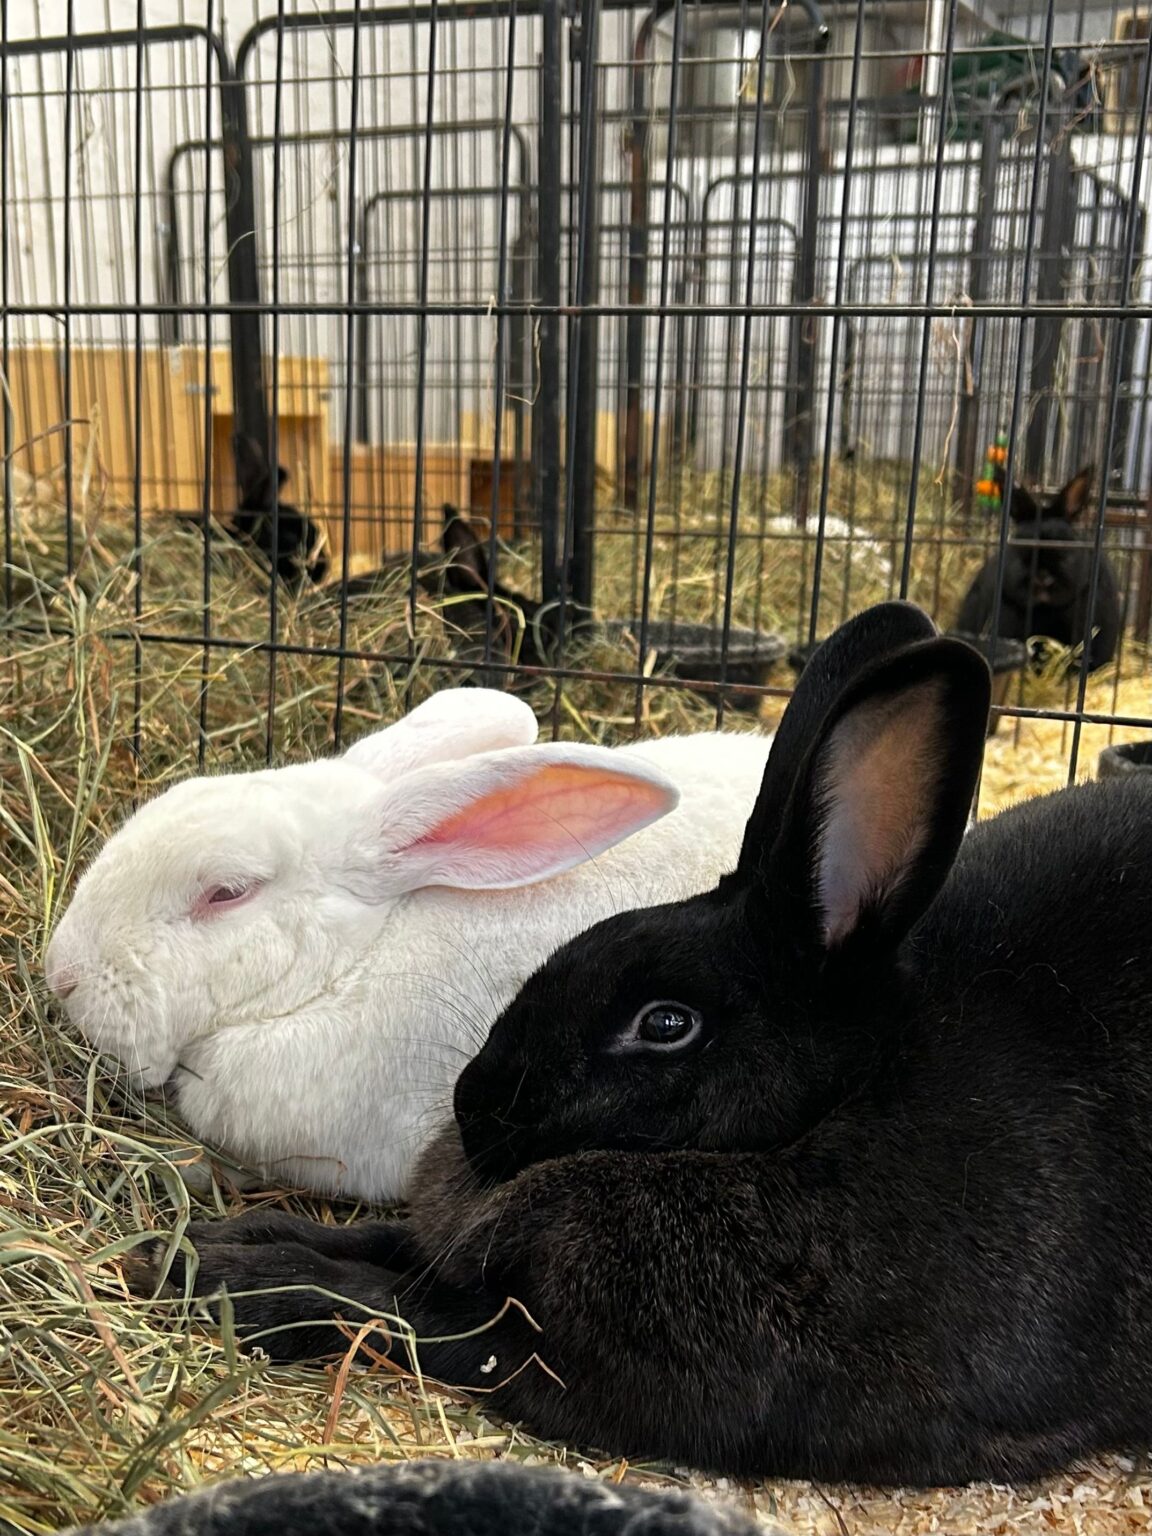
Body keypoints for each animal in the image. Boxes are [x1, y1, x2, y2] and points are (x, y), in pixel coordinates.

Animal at [144, 597, 1152, 1489]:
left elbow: (388, 1309)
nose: (472, 1107)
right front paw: (208, 1240)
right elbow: (380, 1242)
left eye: (666, 1024)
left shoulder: (531, 1346)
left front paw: (223, 1274)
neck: (817, 1122)